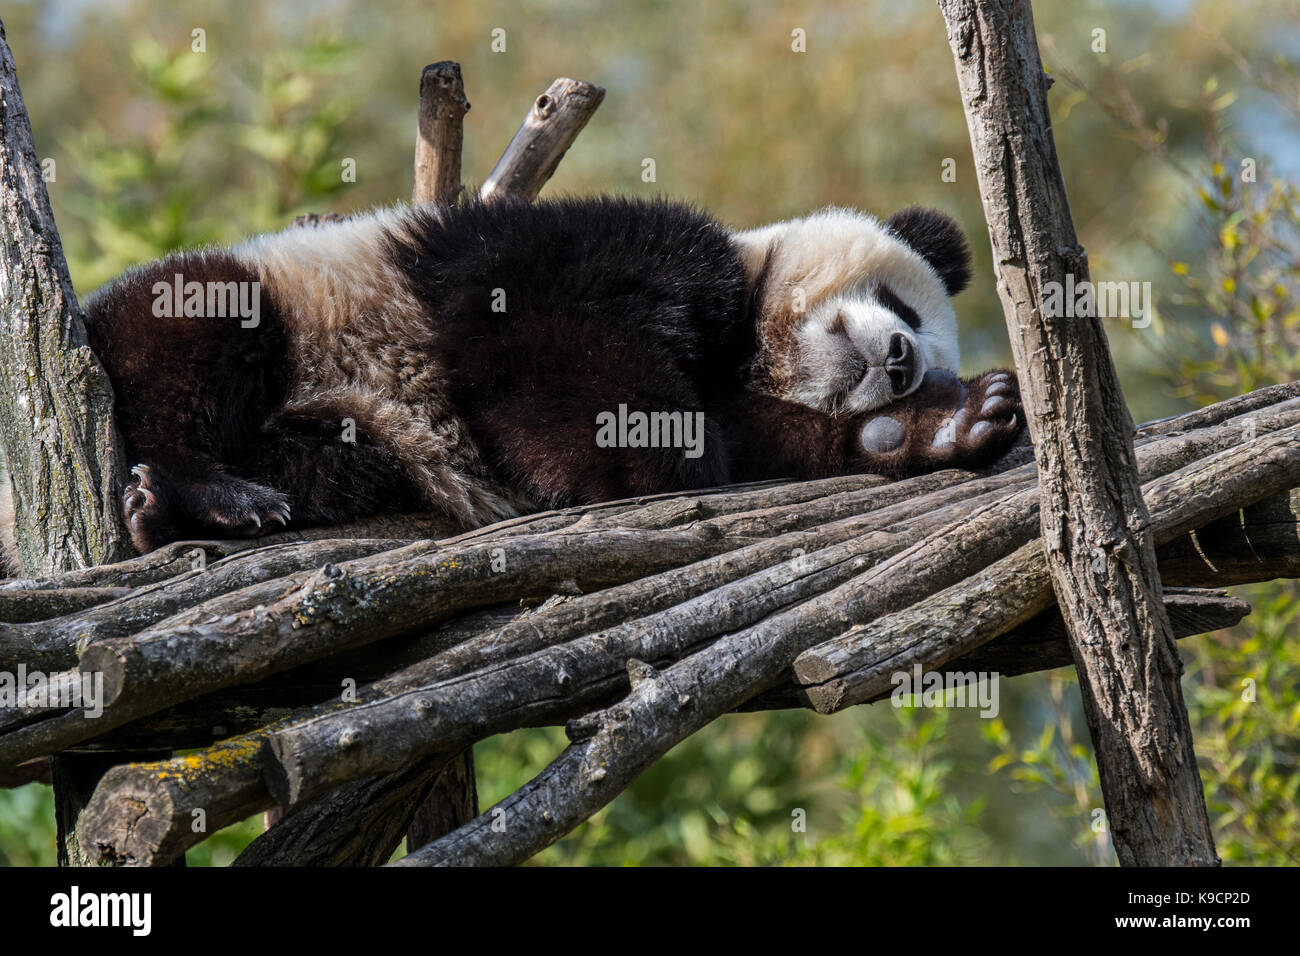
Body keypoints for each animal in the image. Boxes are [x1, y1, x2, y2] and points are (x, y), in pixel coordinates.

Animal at [73, 194, 1023, 554]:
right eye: (904, 310)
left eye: (925, 361)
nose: (900, 363)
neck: (750, 347)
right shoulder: (579, 247)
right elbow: (542, 340)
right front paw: (647, 455)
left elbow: (768, 442)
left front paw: (937, 426)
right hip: (273, 300)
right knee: (192, 330)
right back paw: (202, 492)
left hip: (349, 441)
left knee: (327, 464)